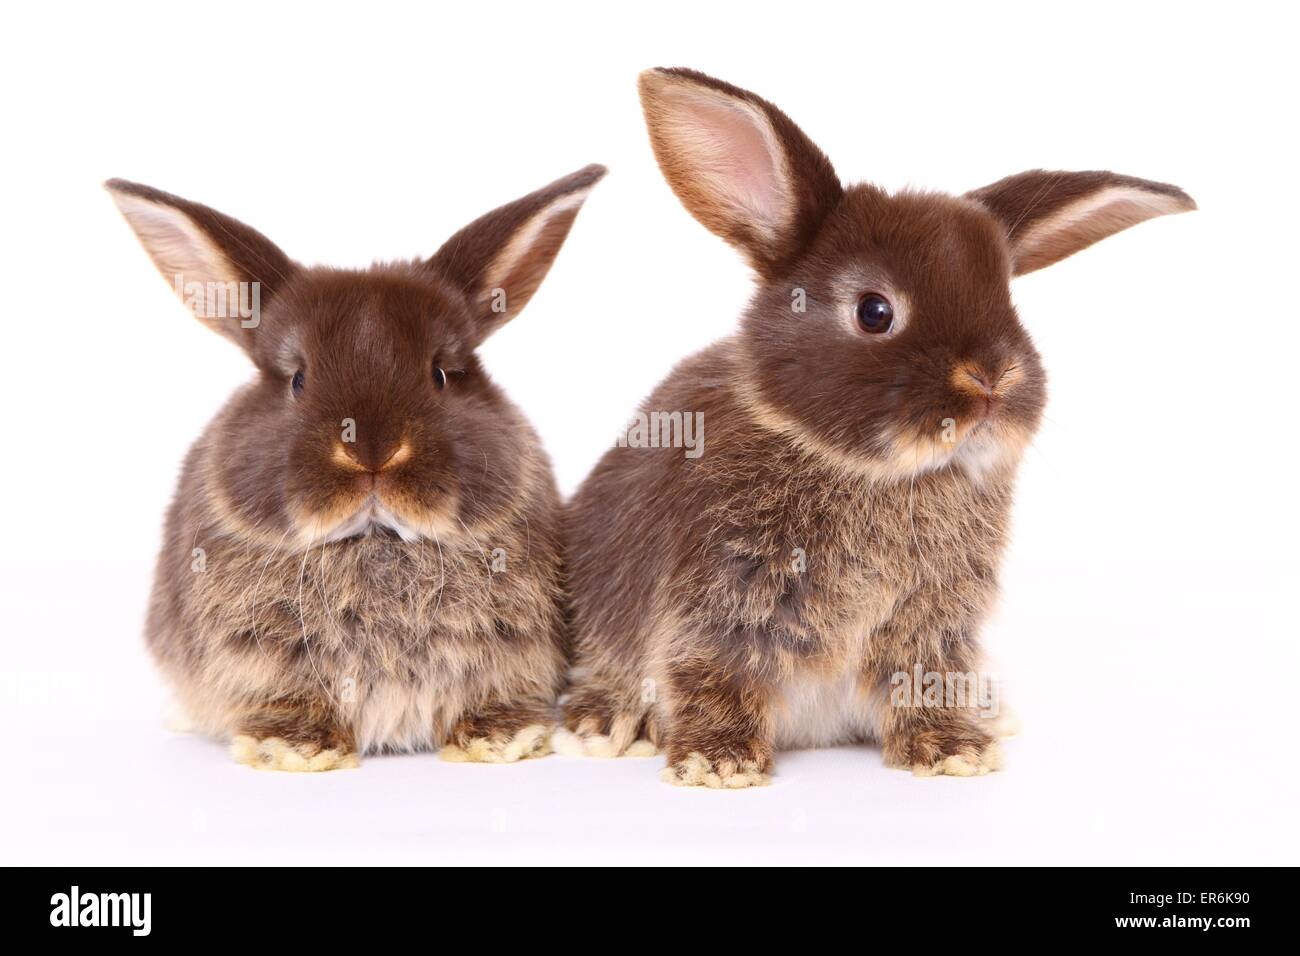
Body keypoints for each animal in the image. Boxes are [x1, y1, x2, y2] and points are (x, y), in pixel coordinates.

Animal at [107, 164, 605, 770]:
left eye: (441, 375)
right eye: (297, 380)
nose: (372, 451)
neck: (375, 540)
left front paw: (501, 740)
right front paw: (295, 749)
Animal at [556, 67, 1194, 787]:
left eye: (1008, 301)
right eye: (874, 311)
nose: (993, 378)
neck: (880, 473)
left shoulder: (935, 622)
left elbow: (925, 679)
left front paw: (953, 749)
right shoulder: (720, 597)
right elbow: (712, 673)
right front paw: (719, 762)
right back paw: (607, 722)